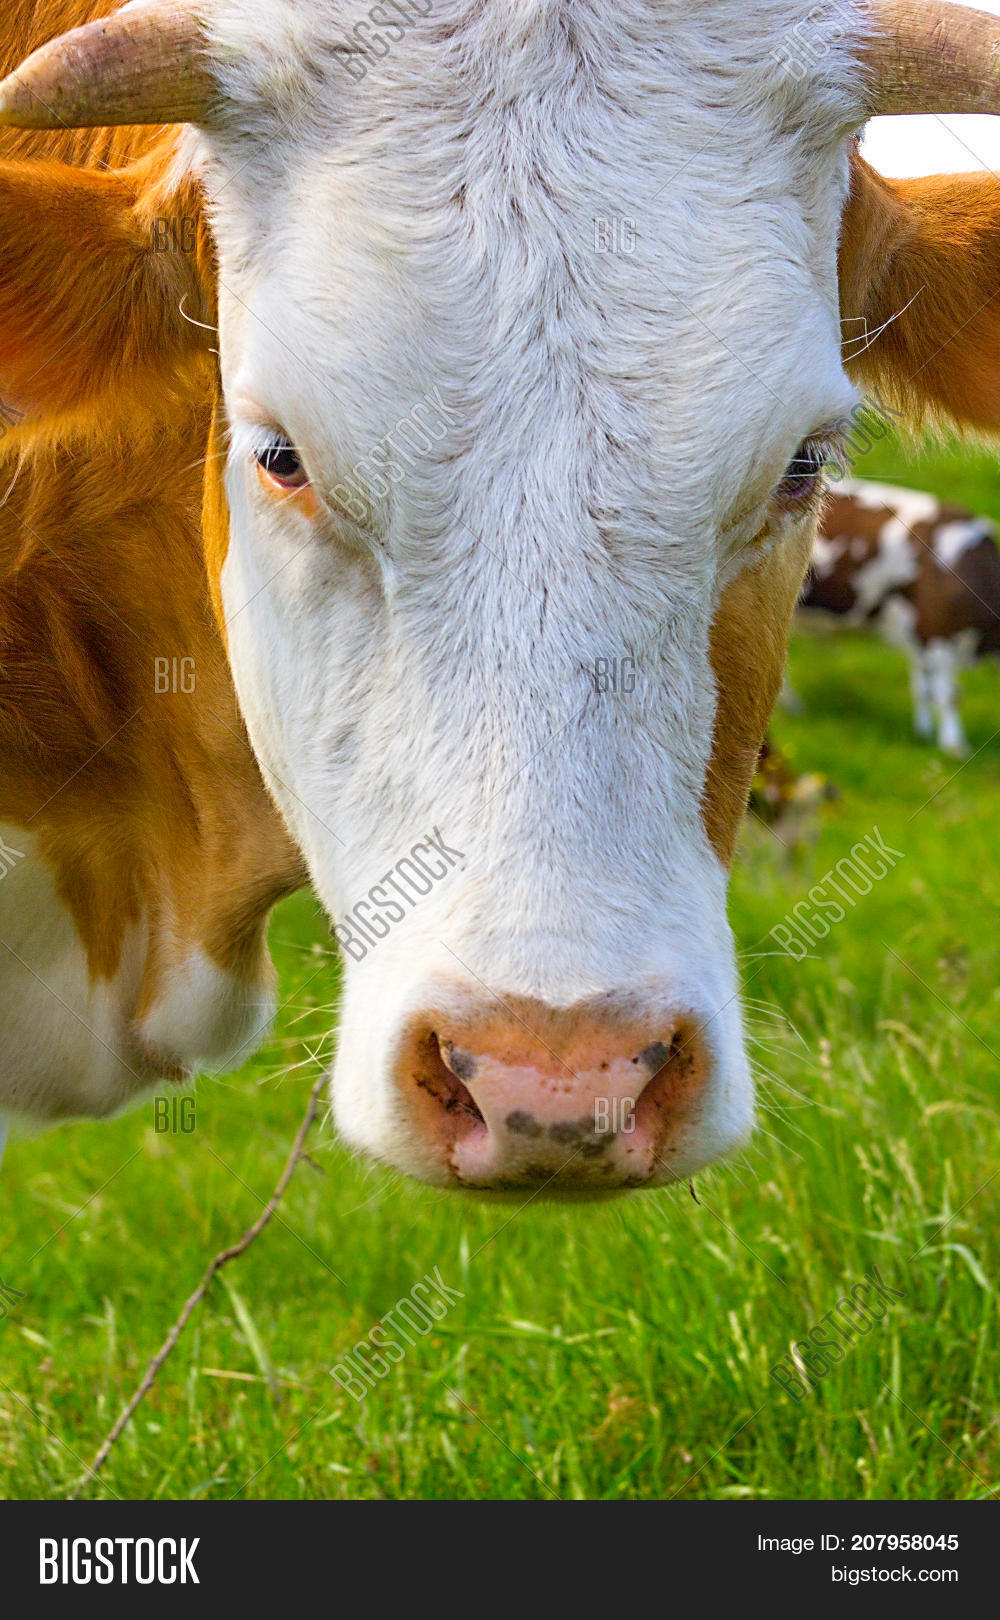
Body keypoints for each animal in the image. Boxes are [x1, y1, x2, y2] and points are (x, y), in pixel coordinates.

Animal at [799, 479, 1000, 755]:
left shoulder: (920, 635)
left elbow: (923, 688)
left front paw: (923, 732)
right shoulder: (939, 635)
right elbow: (949, 694)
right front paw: (954, 745)